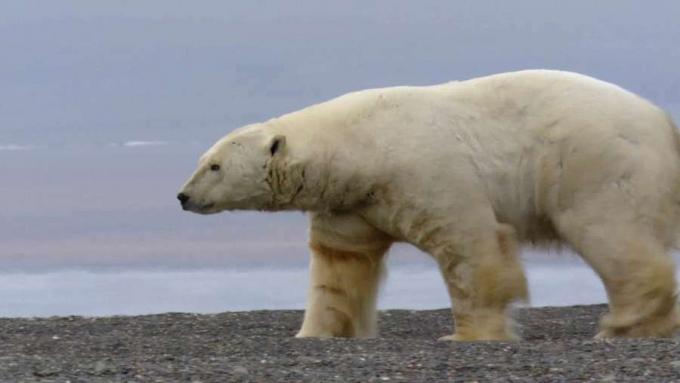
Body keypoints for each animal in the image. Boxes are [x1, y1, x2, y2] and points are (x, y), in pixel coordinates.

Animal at [178, 70, 680, 340]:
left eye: (215, 166)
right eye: (203, 160)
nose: (182, 196)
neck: (361, 146)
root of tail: (662, 120)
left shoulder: (426, 171)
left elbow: (469, 245)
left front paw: (466, 334)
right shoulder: (352, 203)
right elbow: (338, 264)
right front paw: (315, 331)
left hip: (590, 162)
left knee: (605, 230)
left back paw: (627, 323)